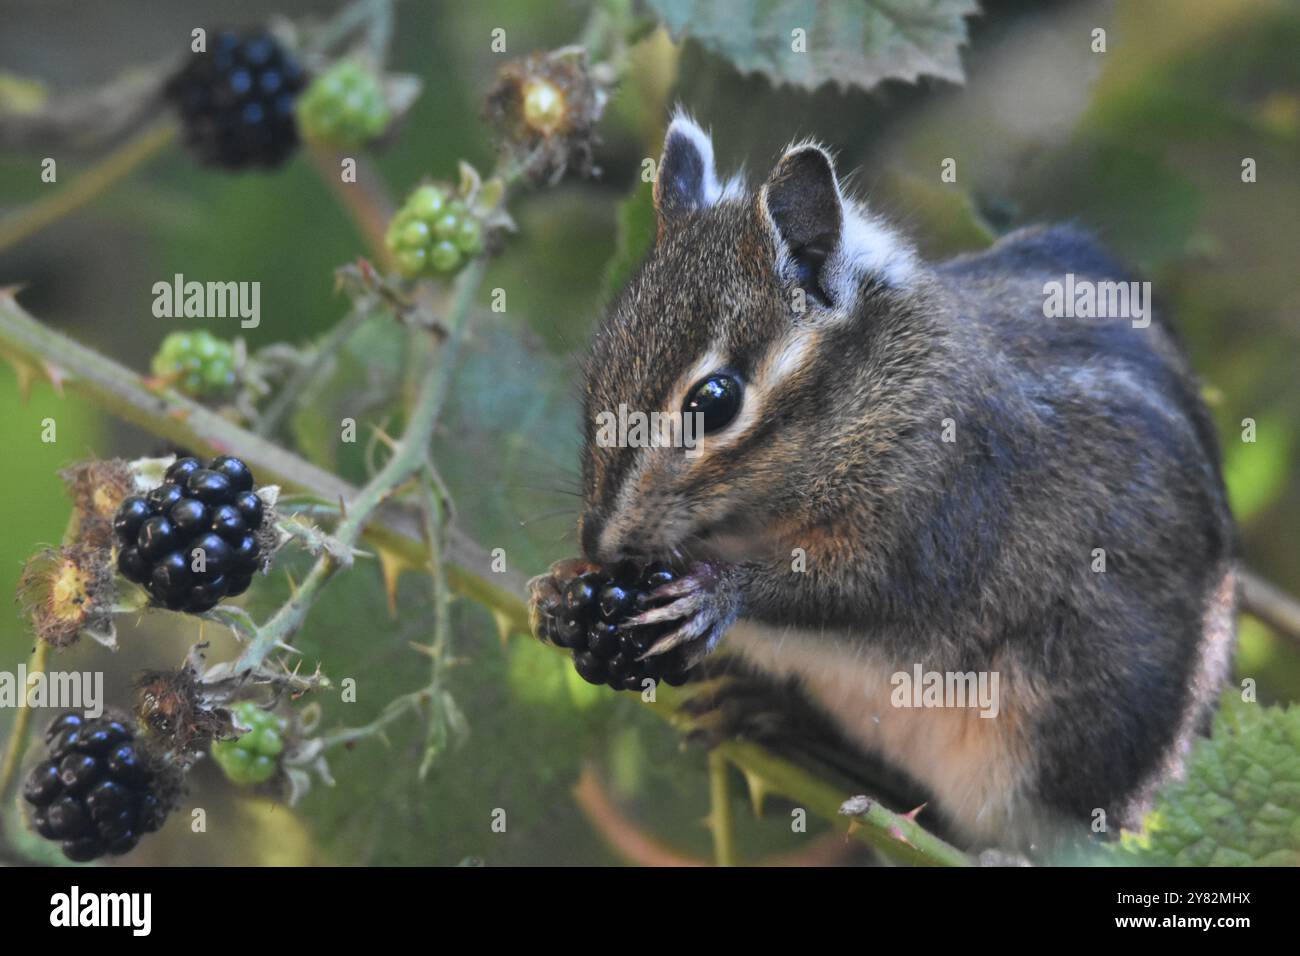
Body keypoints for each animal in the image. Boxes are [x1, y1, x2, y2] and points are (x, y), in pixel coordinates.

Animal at [530, 113, 1238, 851]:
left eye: (714, 401)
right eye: (598, 363)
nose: (600, 545)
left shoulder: (940, 509)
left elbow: (851, 591)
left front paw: (712, 594)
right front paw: (557, 590)